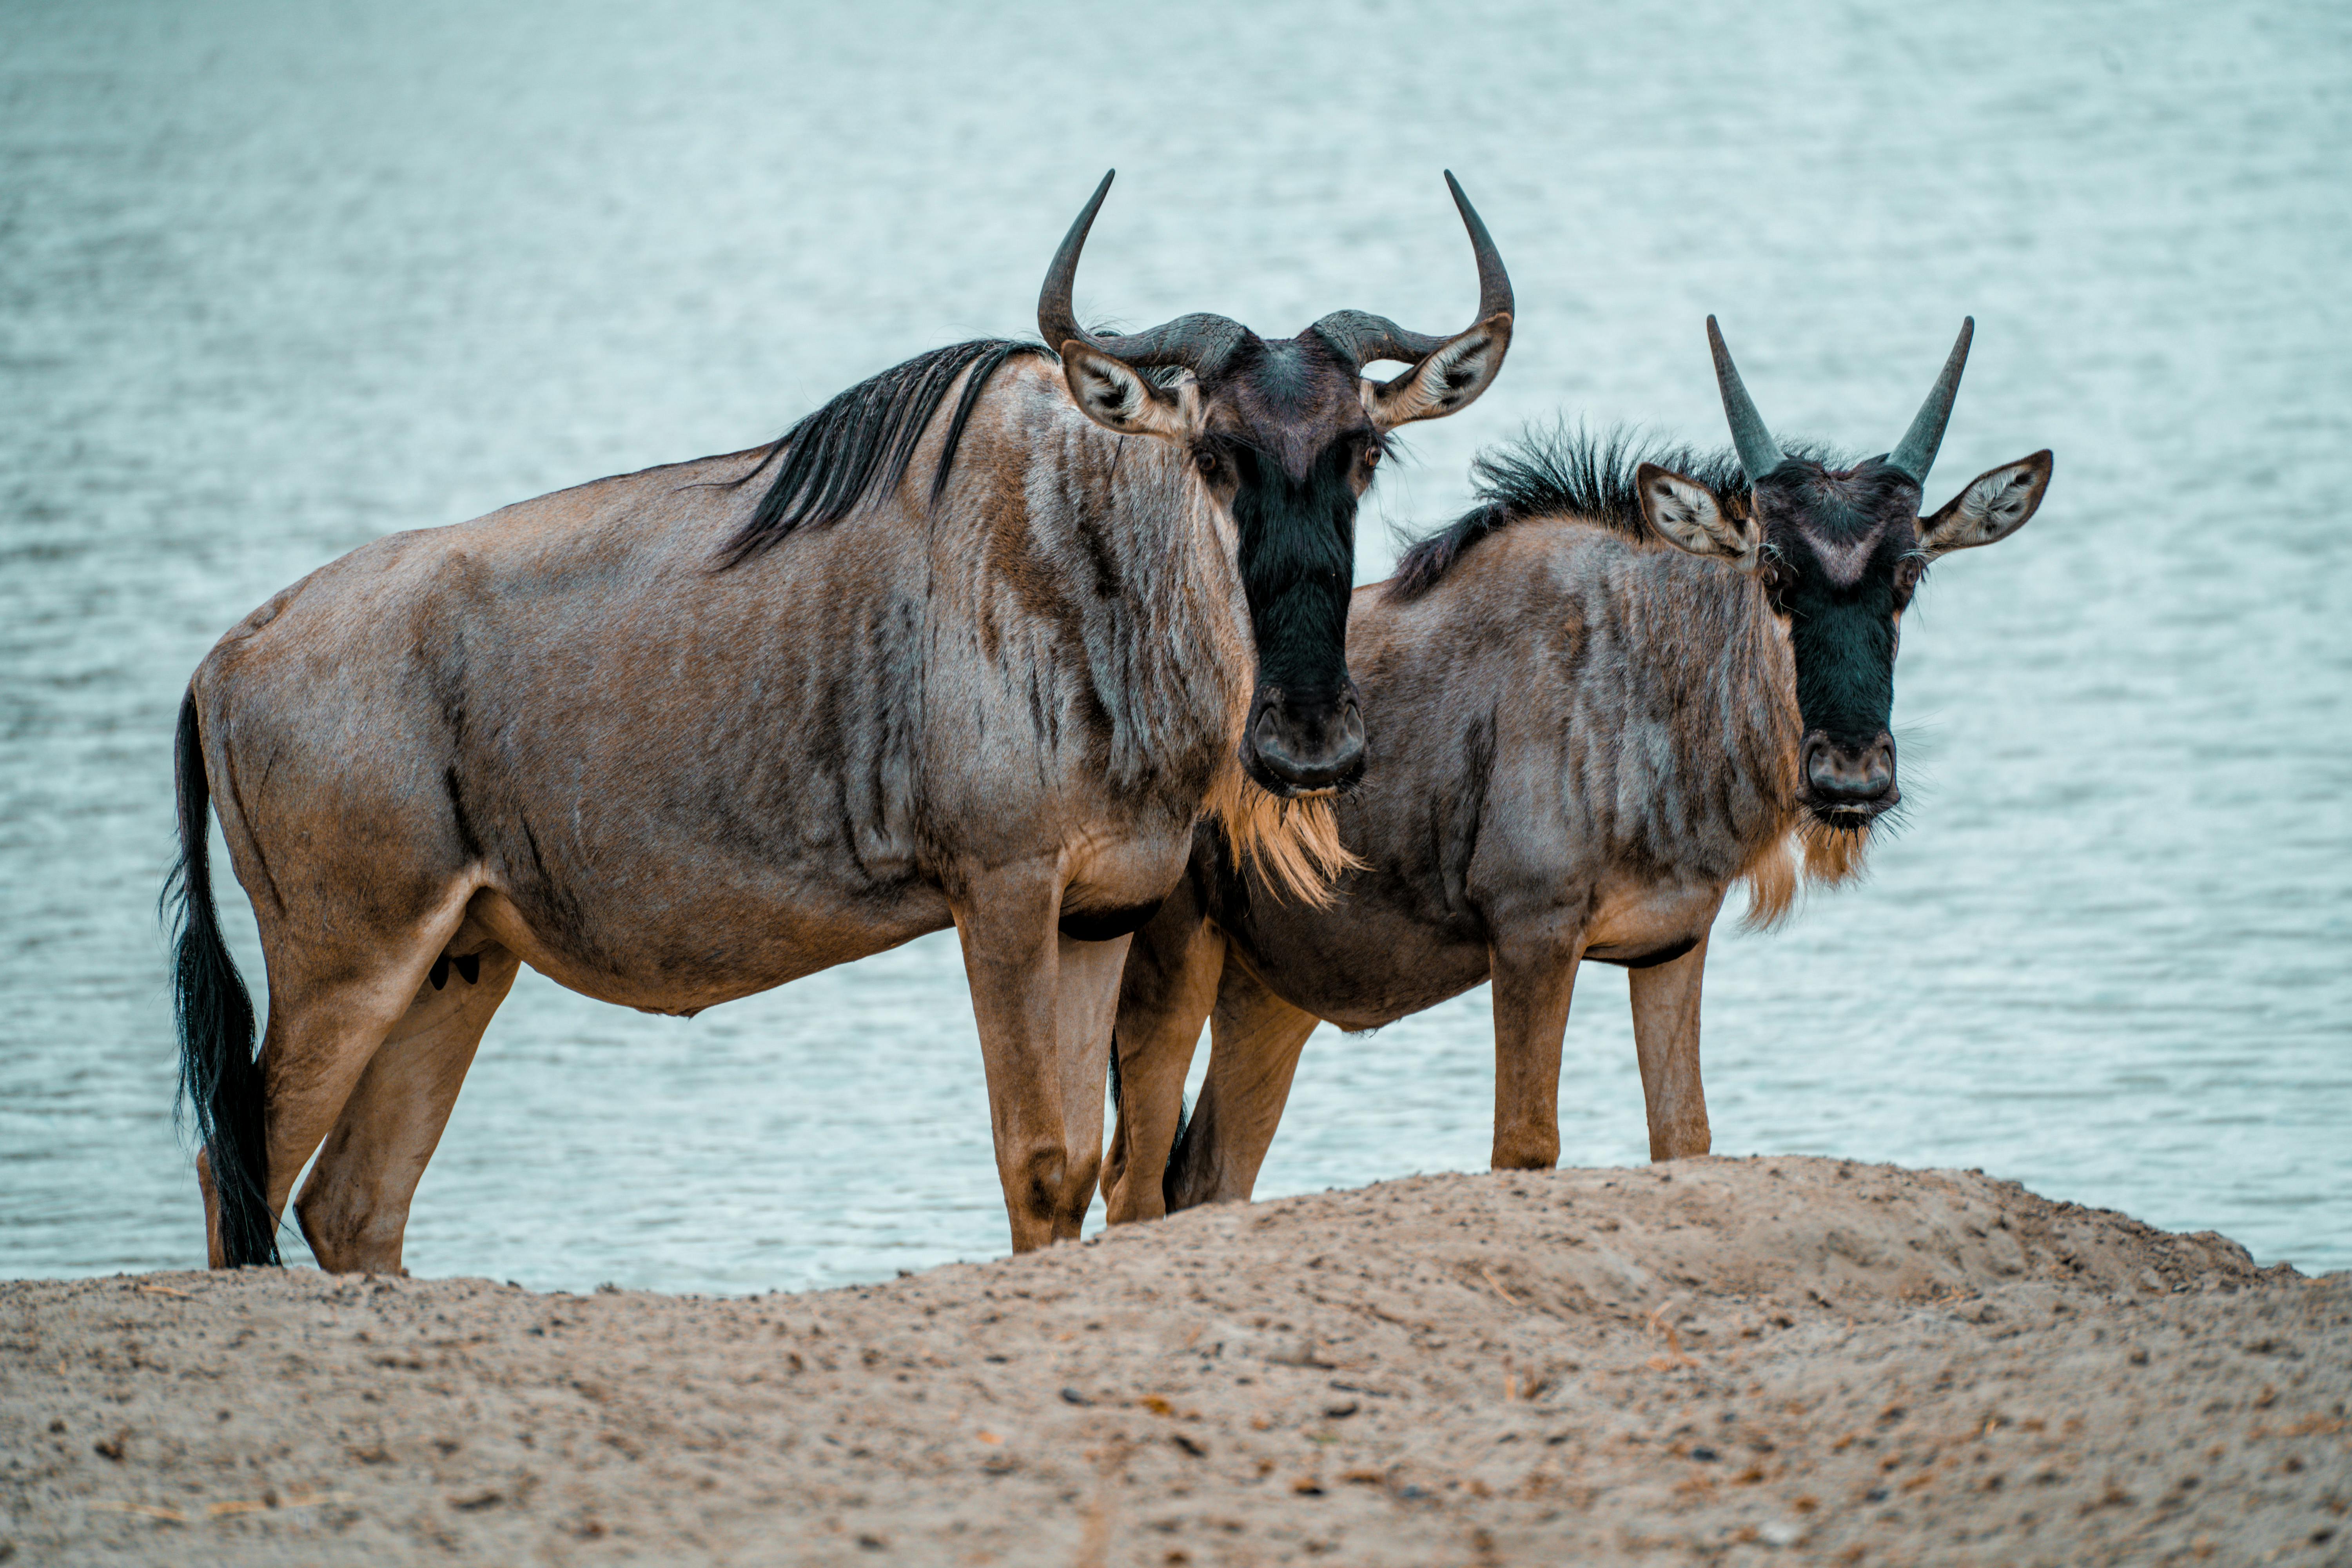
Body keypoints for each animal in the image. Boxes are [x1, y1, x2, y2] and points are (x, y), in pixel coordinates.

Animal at [165, 172, 1515, 1271]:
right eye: (1219, 455)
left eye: (1363, 452)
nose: (1310, 742)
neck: (1089, 563)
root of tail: (226, 656)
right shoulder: (1001, 891)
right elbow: (1035, 1160)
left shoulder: (1098, 911)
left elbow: (1084, 1164)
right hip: (343, 966)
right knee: (240, 1169)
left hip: (457, 962)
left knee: (352, 1203)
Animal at [1101, 317, 2053, 1220]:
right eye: (1777, 570)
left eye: (1908, 574)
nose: (1851, 776)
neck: (1639, 664)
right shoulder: (1534, 938)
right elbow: (1526, 1143)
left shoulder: (1670, 945)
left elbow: (1685, 1134)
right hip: (1168, 968)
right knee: (1133, 1184)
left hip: (1266, 1000)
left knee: (1206, 1176)